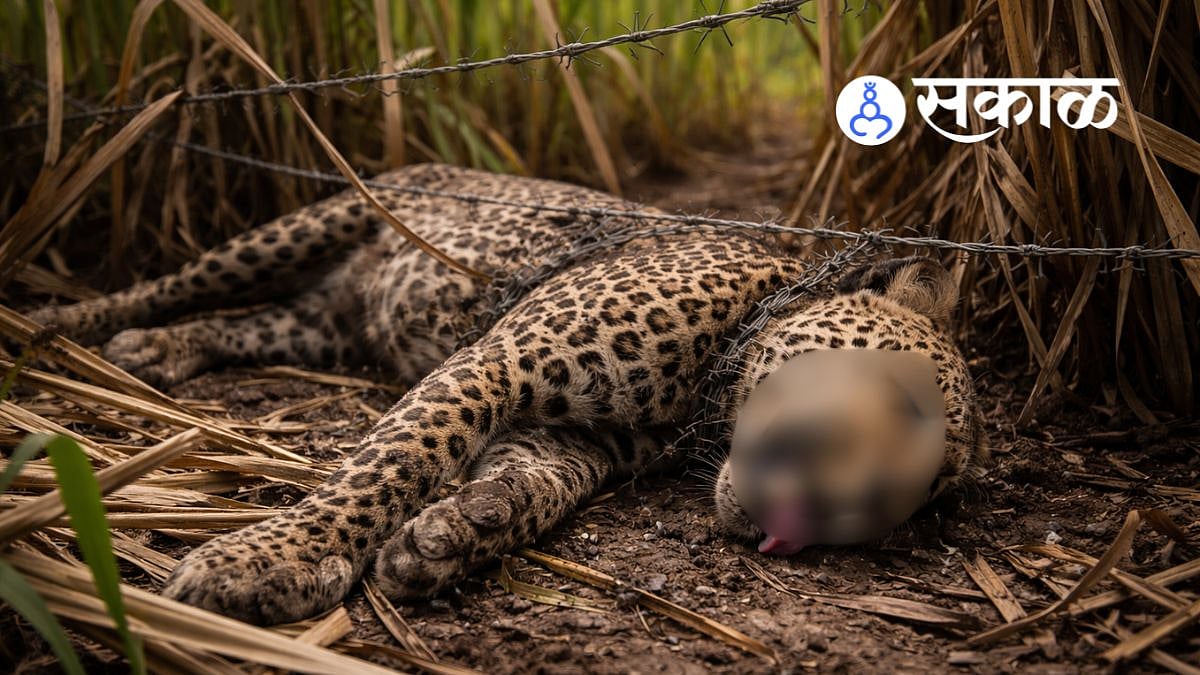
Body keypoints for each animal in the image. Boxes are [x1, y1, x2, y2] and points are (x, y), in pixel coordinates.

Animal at [28, 163, 988, 625]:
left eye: (912, 501)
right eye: (904, 399)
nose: (848, 502)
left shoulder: (571, 438)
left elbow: (534, 488)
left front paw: (452, 536)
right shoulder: (497, 361)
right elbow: (390, 463)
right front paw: (267, 561)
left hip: (319, 327)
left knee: (249, 322)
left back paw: (161, 350)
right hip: (307, 223)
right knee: (175, 283)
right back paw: (62, 320)